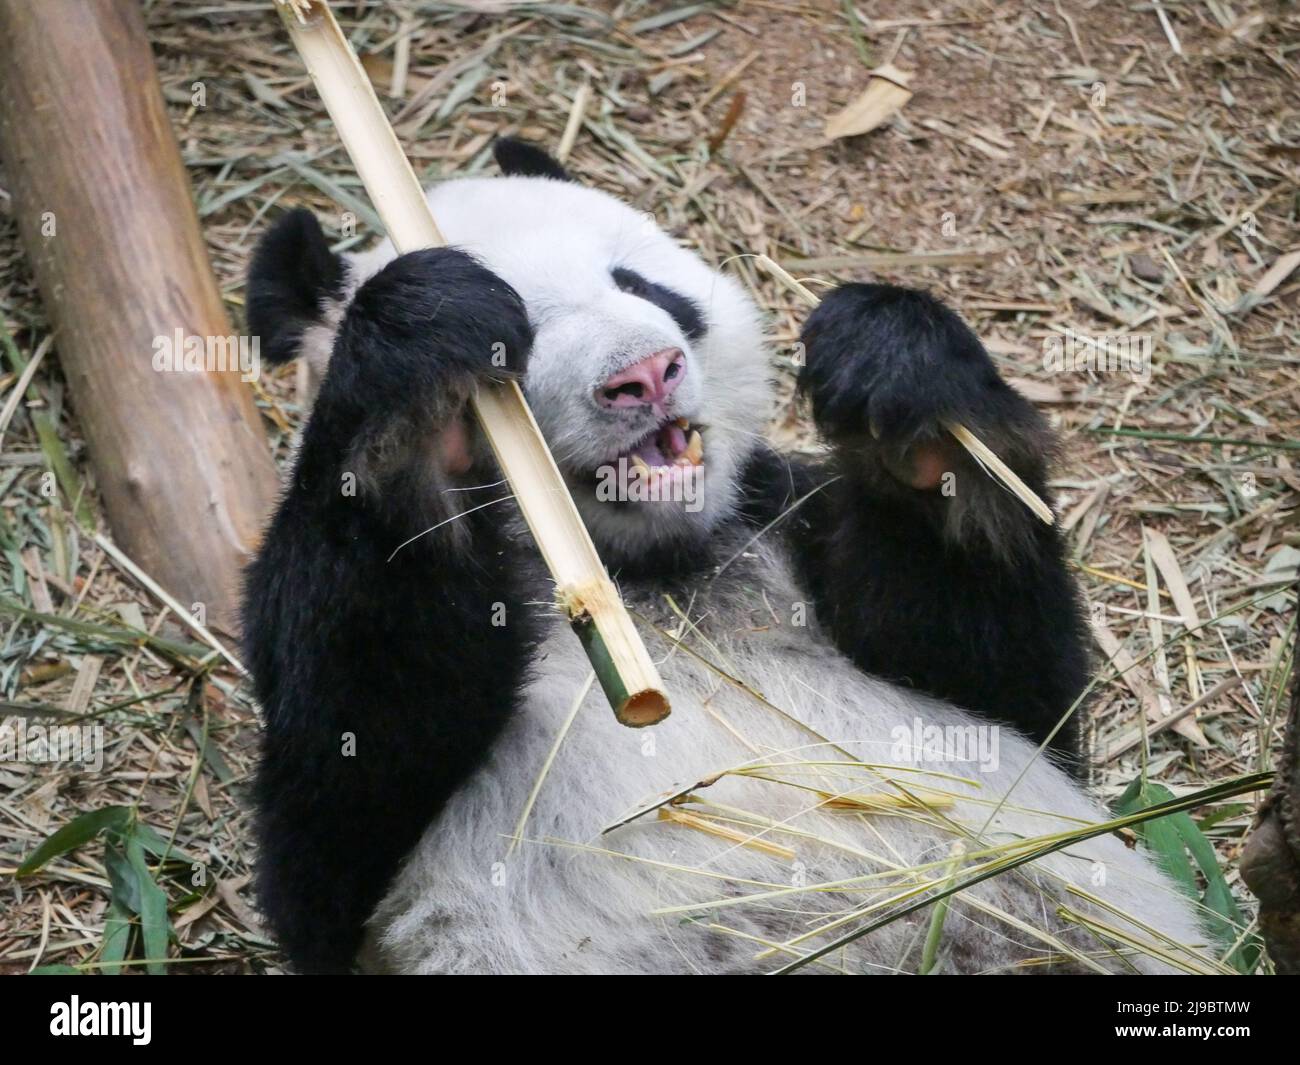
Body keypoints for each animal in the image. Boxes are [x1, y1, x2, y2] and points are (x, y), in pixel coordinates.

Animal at [242, 137, 1205, 975]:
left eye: (641, 283)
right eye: (517, 336)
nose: (645, 372)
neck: (650, 571)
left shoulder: (775, 520)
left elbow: (1015, 692)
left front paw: (900, 374)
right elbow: (331, 817)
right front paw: (419, 363)